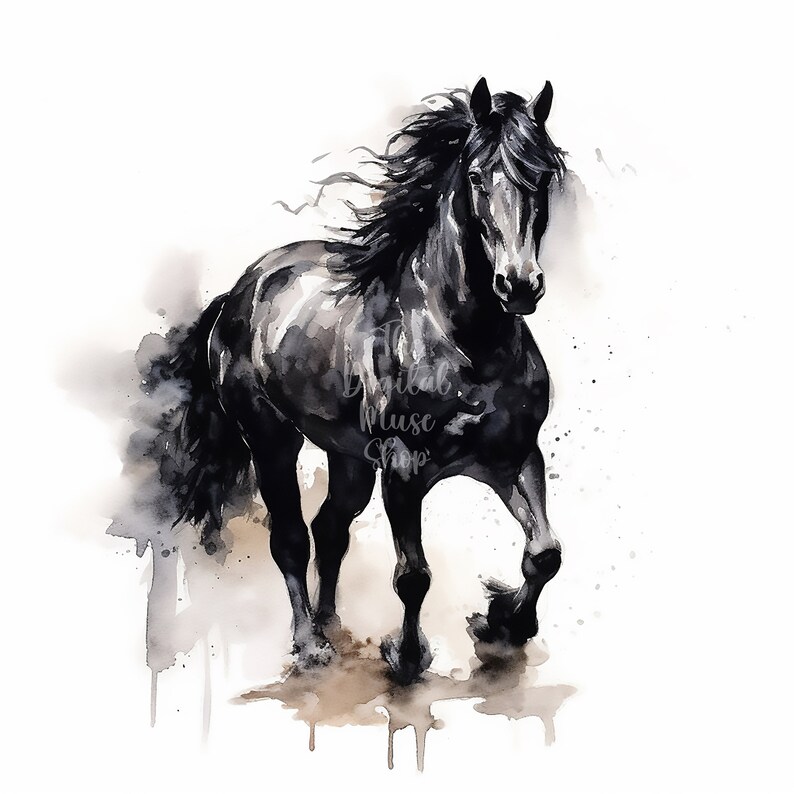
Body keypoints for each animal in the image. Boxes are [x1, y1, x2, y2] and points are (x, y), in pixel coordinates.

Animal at [146, 77, 568, 684]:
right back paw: (309, 645)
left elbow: (544, 553)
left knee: (330, 530)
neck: (464, 343)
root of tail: (241, 291)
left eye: (546, 172)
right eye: (475, 174)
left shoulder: (514, 457)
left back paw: (331, 623)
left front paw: (502, 624)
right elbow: (413, 574)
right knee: (292, 540)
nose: (519, 285)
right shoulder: (404, 466)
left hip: (349, 459)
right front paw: (407, 656)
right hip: (273, 442)